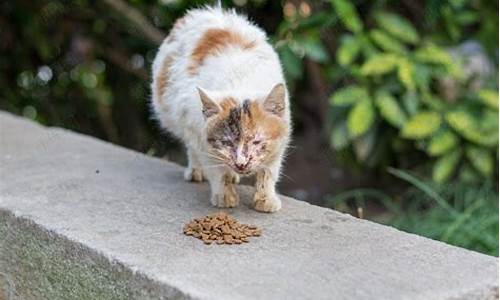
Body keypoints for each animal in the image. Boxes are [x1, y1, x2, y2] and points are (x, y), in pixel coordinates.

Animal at [150, 4, 292, 211]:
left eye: (256, 141)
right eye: (226, 142)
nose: (241, 164)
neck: (242, 81)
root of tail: (201, 12)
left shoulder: (279, 142)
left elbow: (269, 171)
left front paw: (265, 199)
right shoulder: (201, 135)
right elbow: (217, 169)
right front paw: (224, 196)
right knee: (191, 147)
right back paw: (197, 171)